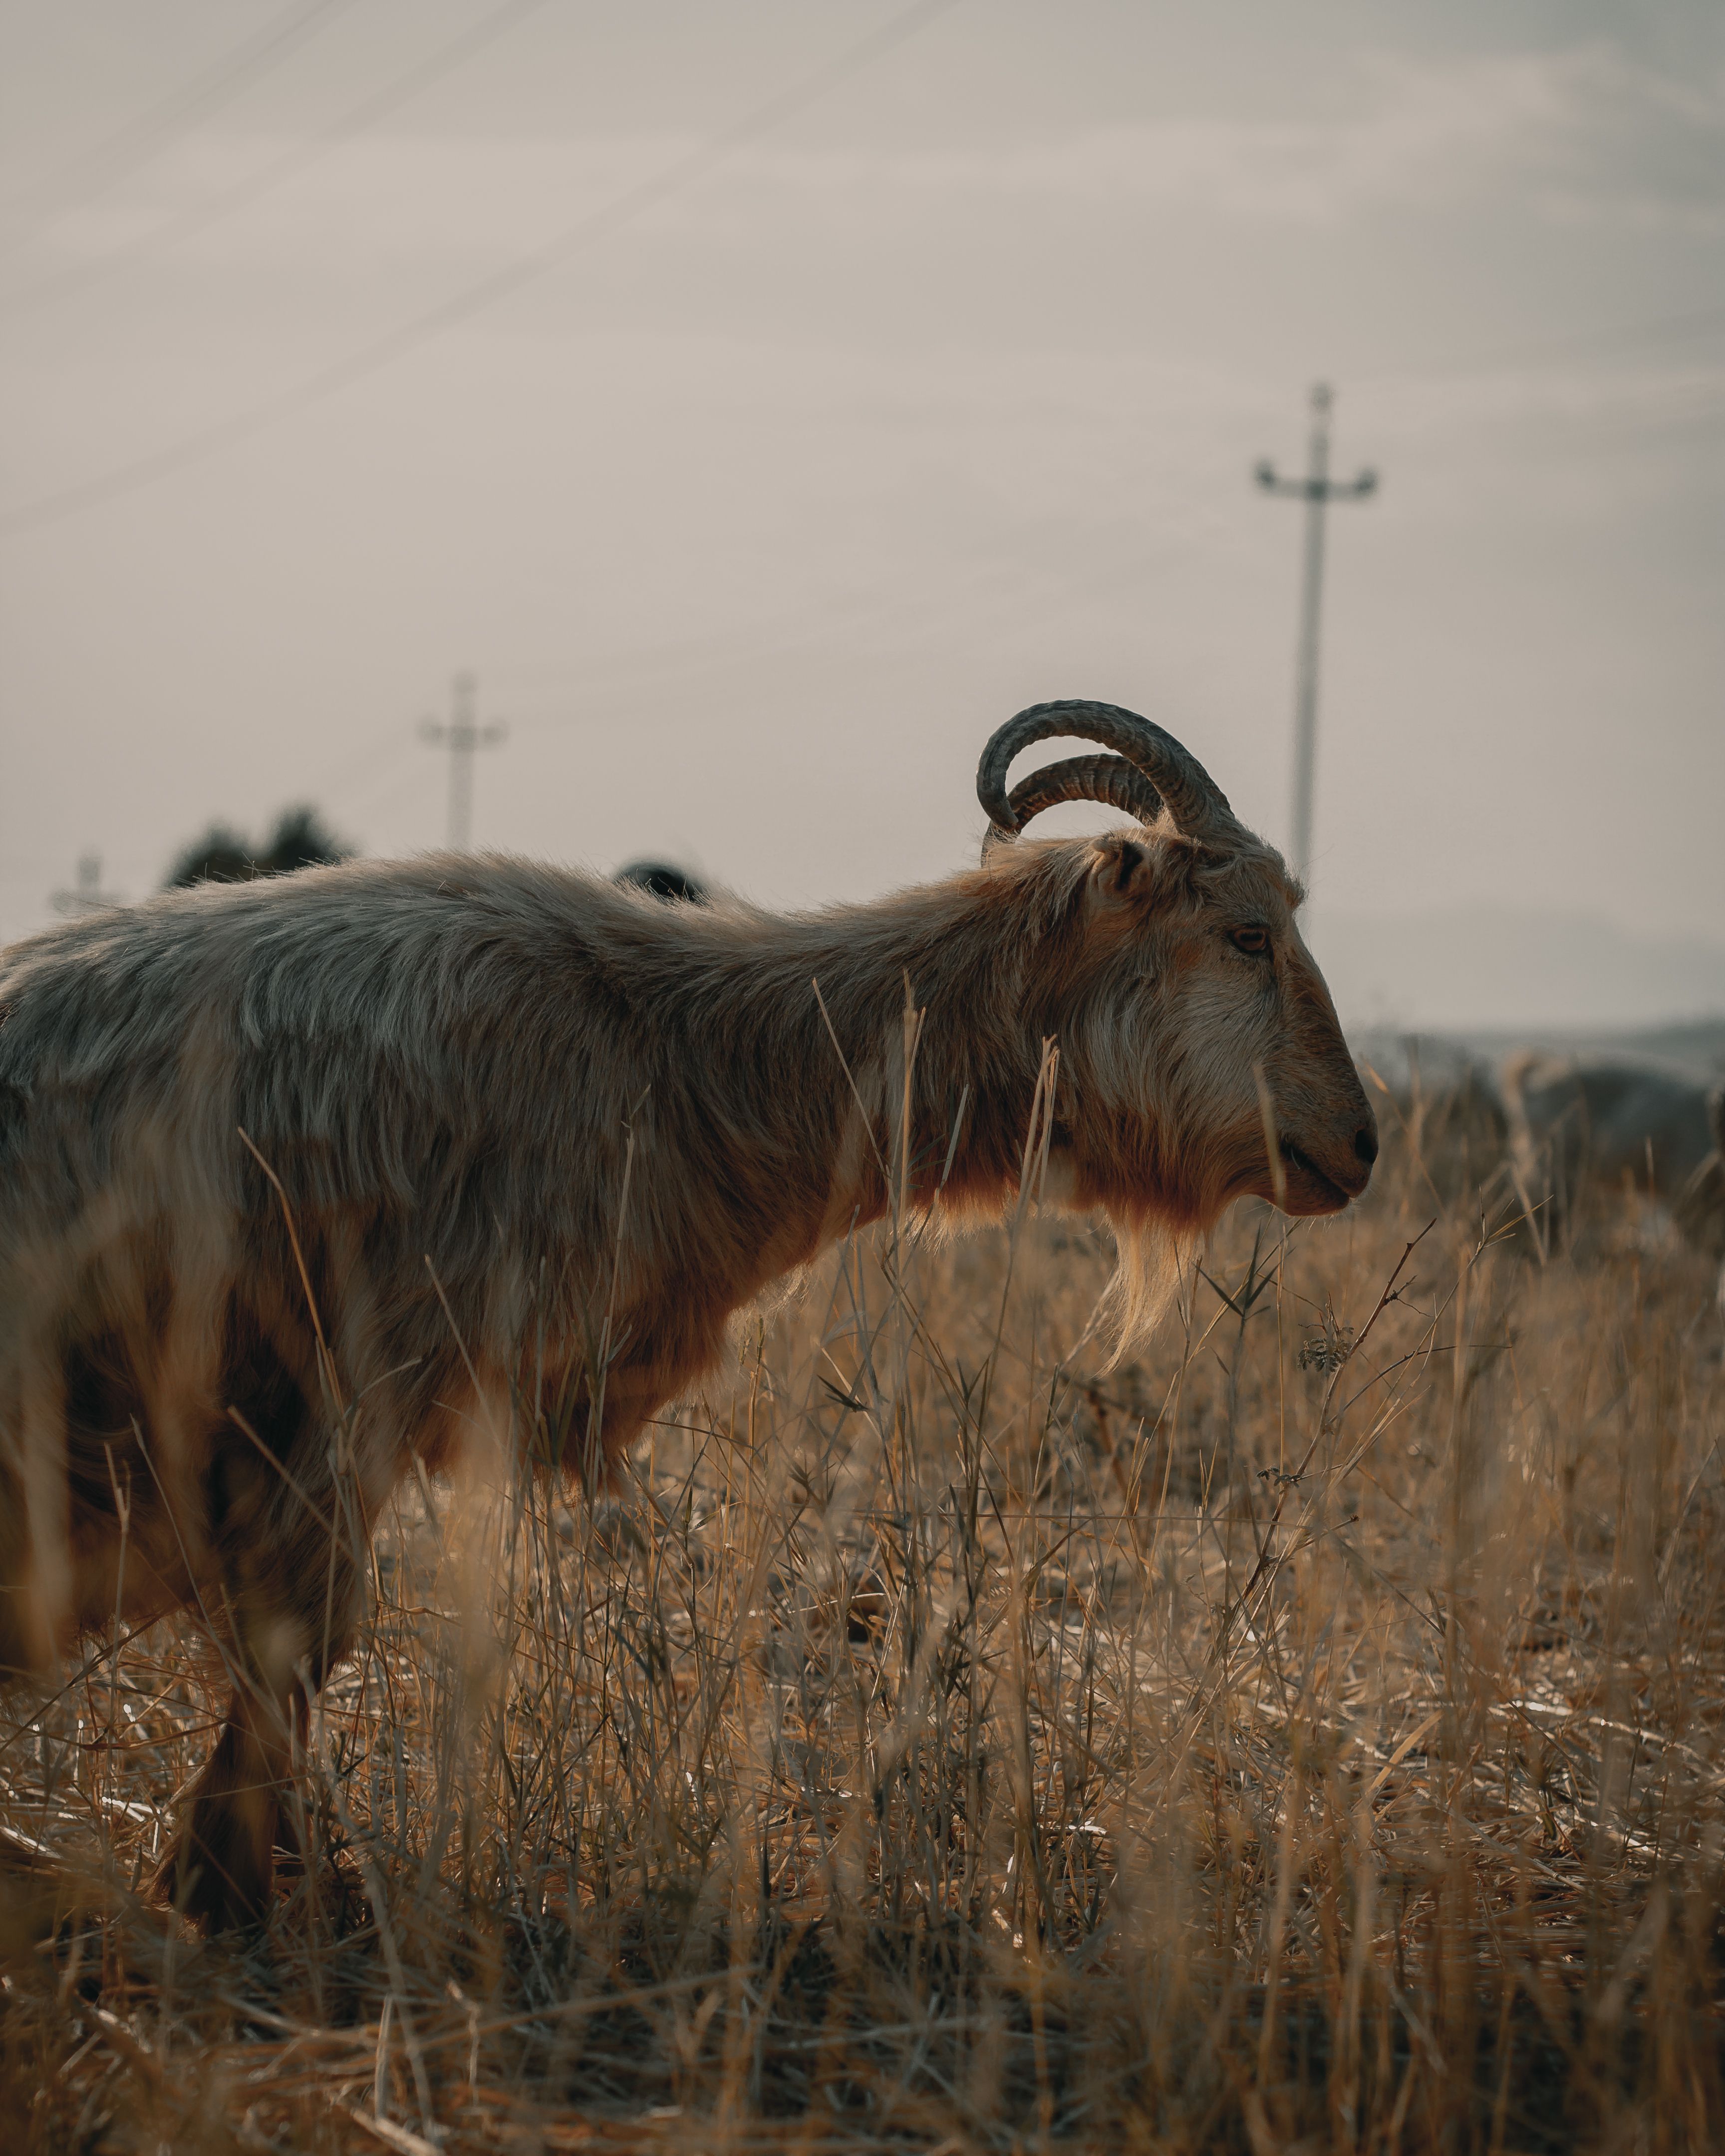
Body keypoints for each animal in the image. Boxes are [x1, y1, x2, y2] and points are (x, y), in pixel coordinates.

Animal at [0, 699, 1376, 1930]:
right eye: (1246, 934)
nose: (1358, 1143)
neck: (674, 1048)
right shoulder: (346, 1399)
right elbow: (300, 1642)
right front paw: (216, 1891)